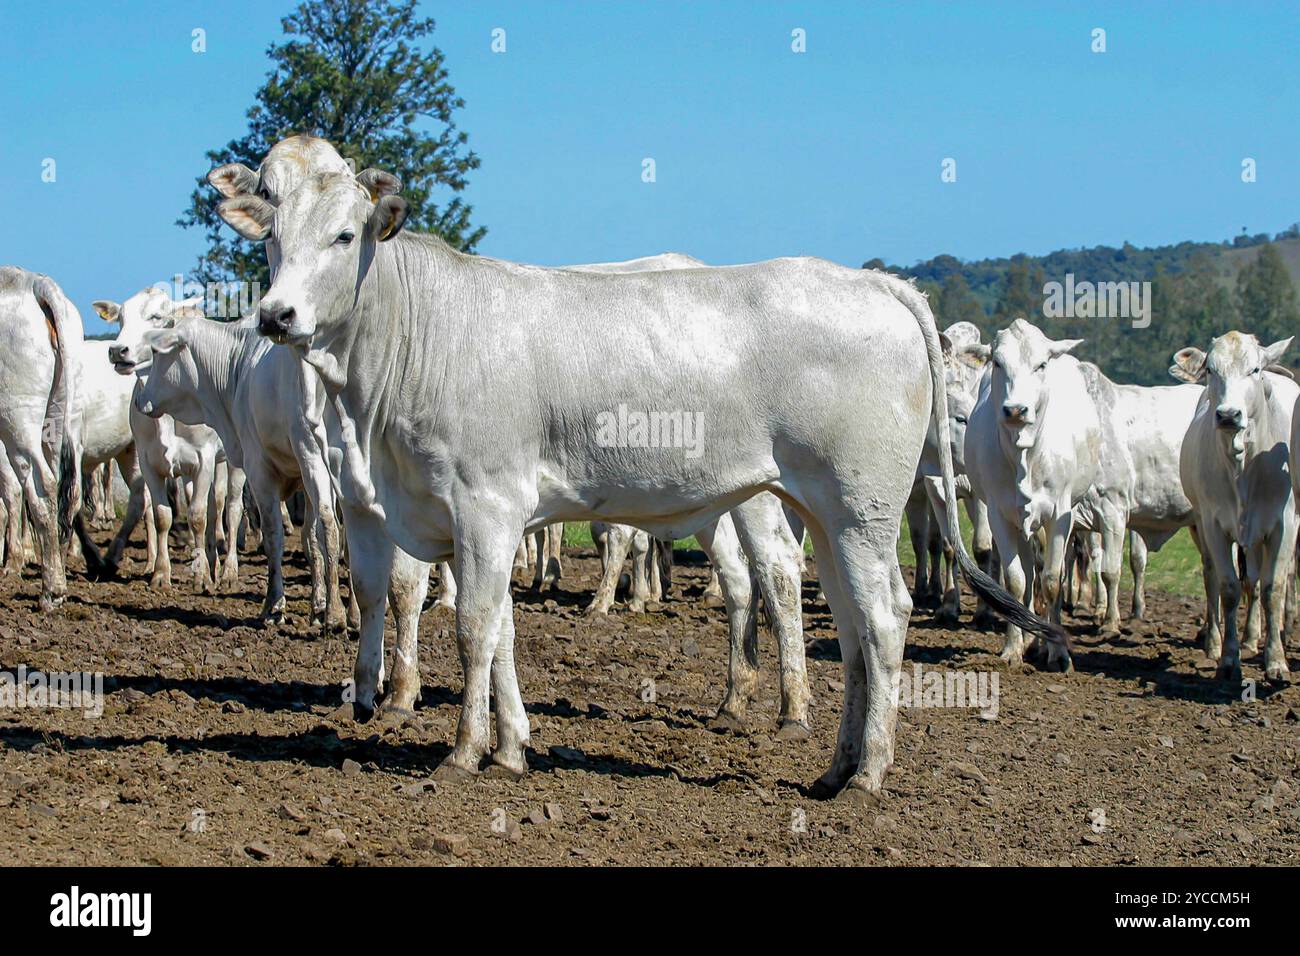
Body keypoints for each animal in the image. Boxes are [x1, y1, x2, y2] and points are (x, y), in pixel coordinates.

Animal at [0, 266, 87, 609]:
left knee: (41, 486)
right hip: (60, 416)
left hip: (16, 419)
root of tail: (33, 283)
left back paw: (52, 590)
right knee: (68, 494)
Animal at [222, 169, 1058, 798]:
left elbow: (474, 628)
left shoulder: (484, 506)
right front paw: (512, 747)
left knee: (883, 617)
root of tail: (874, 285)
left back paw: (867, 776)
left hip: (864, 508)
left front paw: (464, 753)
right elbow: (503, 631)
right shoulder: (477, 518)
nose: (276, 315)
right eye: (272, 237)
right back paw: (834, 768)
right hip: (824, 511)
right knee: (851, 627)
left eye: (343, 235)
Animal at [1174, 334, 1296, 684]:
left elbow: (1272, 588)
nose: (1229, 415)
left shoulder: (1284, 524)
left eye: (1254, 369)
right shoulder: (1214, 525)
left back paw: (1256, 639)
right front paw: (1229, 660)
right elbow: (1228, 588)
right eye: (1210, 370)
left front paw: (1276, 661)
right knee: (1217, 577)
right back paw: (1221, 642)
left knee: (1257, 582)